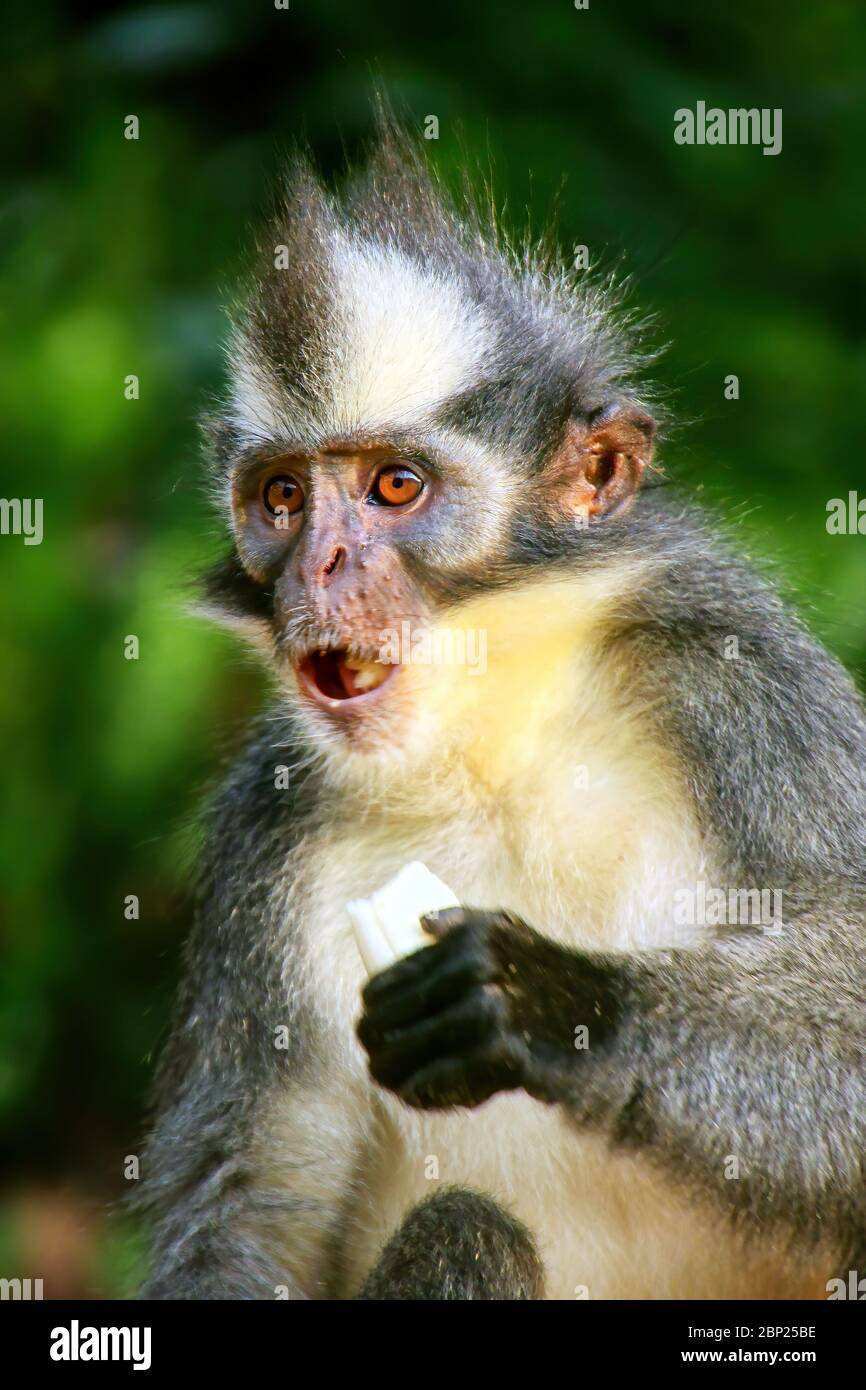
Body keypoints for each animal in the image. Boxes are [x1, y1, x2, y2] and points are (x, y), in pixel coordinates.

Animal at [136, 114, 866, 1302]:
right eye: (283, 498)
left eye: (395, 487)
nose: (318, 565)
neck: (492, 743)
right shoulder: (266, 828)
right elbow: (249, 1203)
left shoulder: (741, 676)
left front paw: (548, 1001)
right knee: (463, 1223)